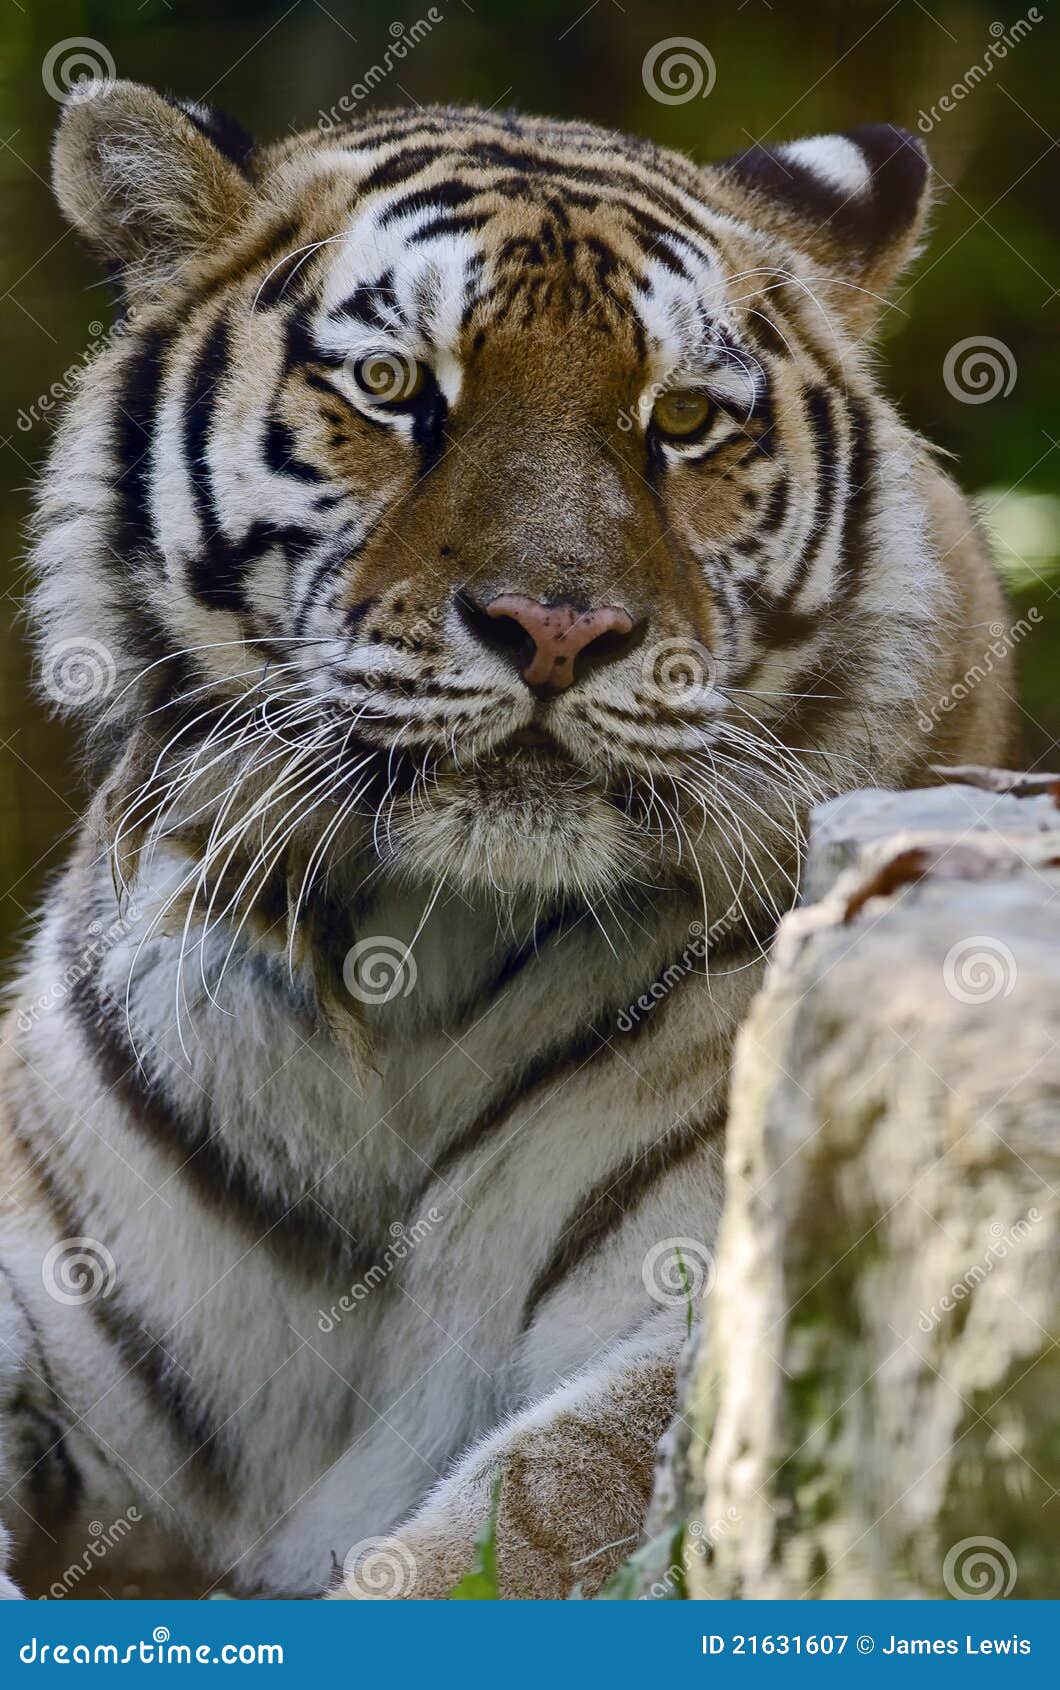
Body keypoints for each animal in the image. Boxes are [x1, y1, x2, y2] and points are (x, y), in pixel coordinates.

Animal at [0, 81, 1017, 1602]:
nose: (557, 627)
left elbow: (525, 1514)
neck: (407, 968)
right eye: (391, 388)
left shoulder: (718, 1308)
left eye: (684, 419)